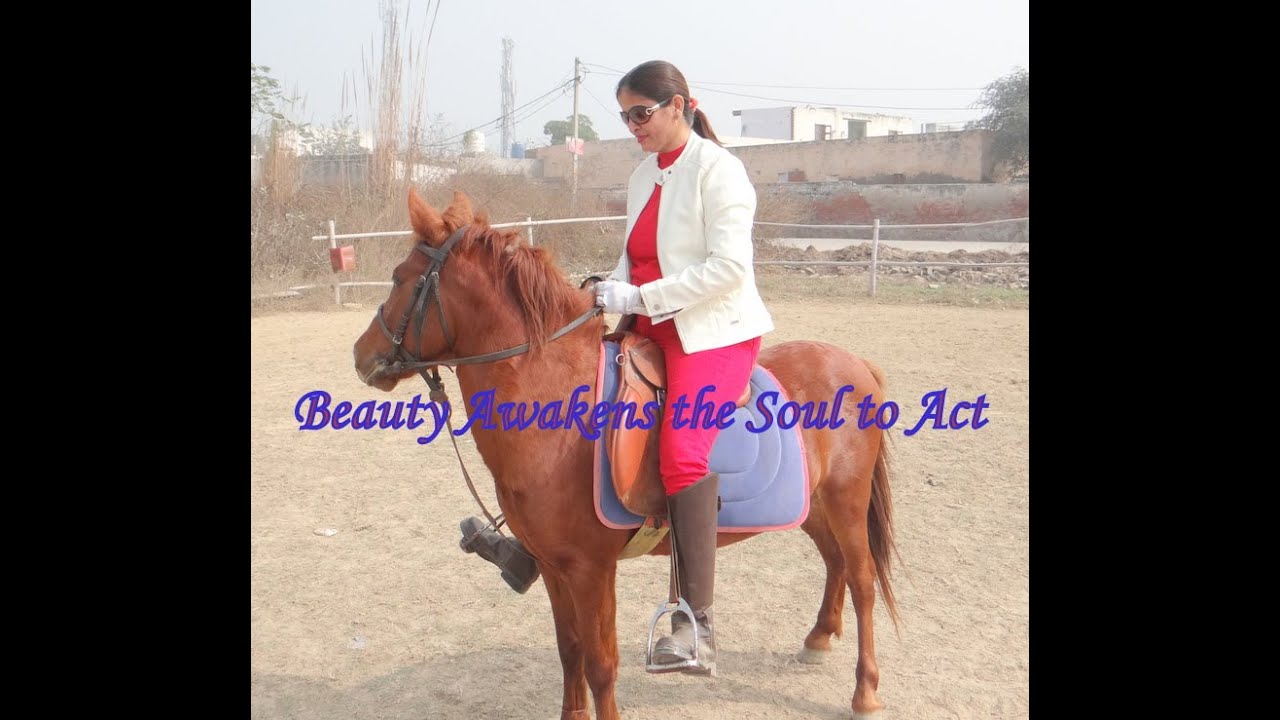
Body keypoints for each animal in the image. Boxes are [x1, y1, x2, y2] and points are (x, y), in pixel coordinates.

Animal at [352, 188, 902, 720]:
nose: (360, 355)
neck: (561, 405)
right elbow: (570, 652)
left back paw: (865, 691)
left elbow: (600, 664)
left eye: (400, 278)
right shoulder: (554, 567)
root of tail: (856, 364)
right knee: (833, 561)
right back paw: (818, 638)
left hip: (846, 502)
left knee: (862, 581)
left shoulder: (591, 570)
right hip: (811, 505)